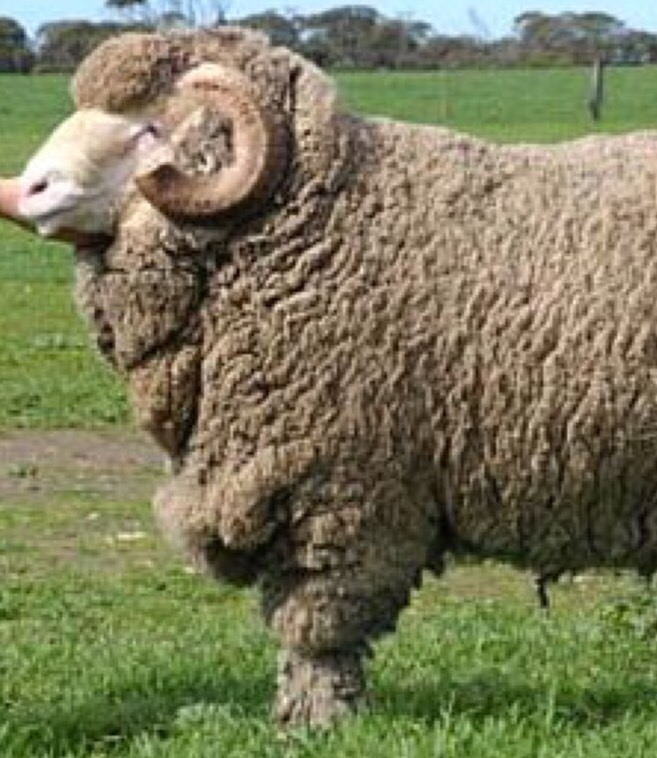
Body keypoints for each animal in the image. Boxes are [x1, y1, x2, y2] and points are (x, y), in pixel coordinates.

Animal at [6, 26, 657, 726]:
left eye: (150, 128)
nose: (25, 190)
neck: (314, 226)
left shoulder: (336, 483)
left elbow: (315, 620)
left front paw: (318, 721)